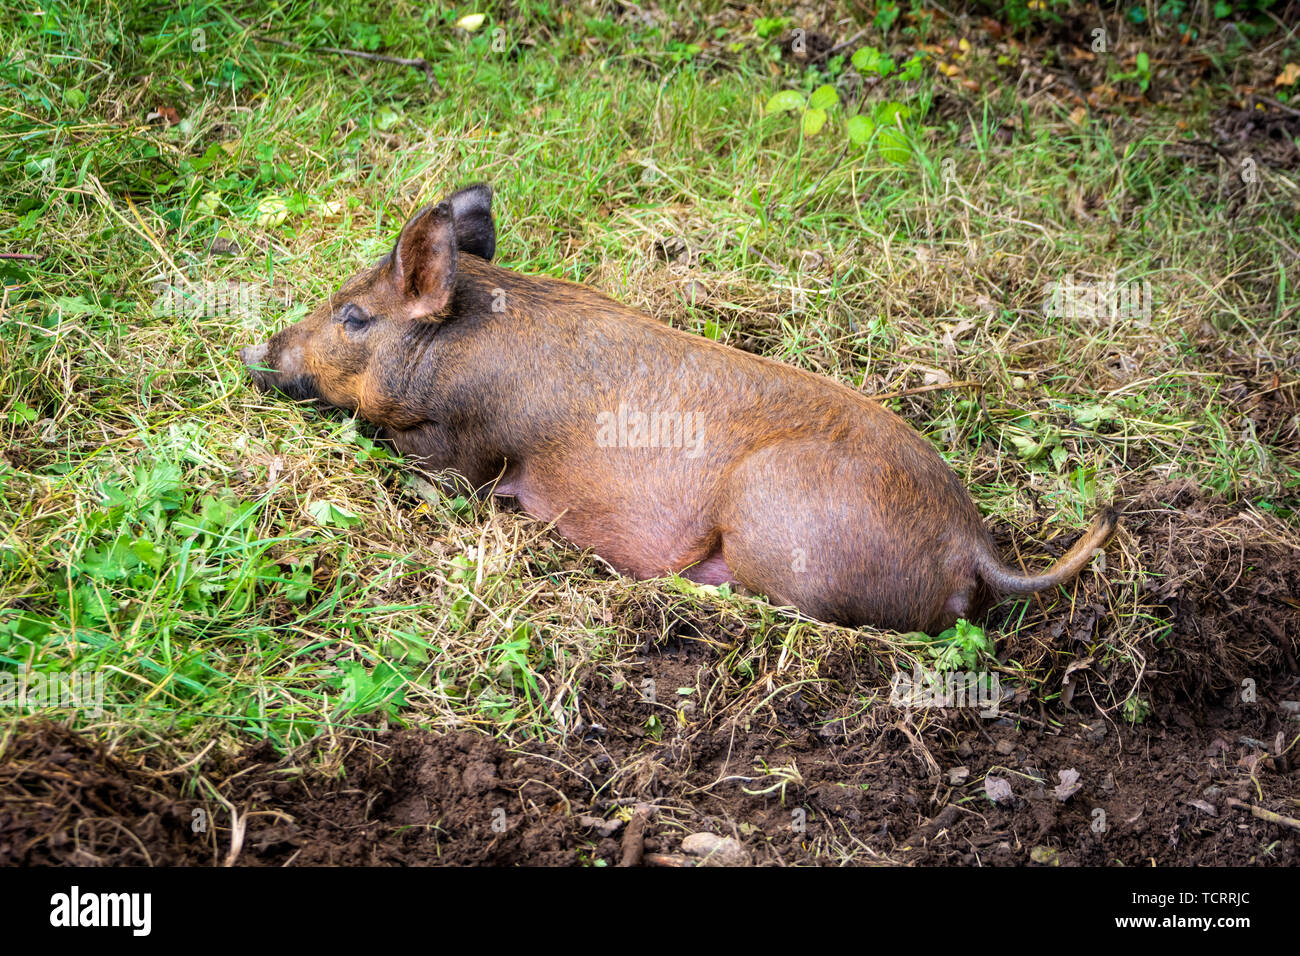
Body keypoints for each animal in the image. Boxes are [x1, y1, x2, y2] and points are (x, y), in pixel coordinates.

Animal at [241, 183, 1117, 634]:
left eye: (354, 317)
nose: (258, 353)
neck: (451, 351)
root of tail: (974, 547)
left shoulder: (465, 447)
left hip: (776, 524)